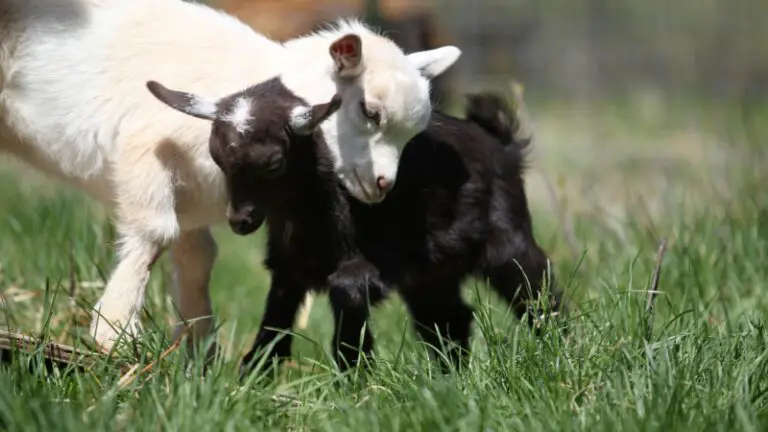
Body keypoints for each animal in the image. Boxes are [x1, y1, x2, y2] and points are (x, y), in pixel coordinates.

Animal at [0, 0, 461, 354]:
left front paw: (196, 350)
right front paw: (113, 333)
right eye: (370, 111)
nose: (383, 185)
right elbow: (154, 233)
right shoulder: (146, 149)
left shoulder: (193, 199)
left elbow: (198, 259)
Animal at [147, 78, 563, 374]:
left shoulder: (373, 263)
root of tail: (501, 145)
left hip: (506, 240)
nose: (240, 220)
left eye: (274, 163)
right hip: (431, 272)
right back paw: (451, 379)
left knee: (537, 289)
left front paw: (356, 376)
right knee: (449, 319)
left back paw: (559, 349)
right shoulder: (288, 270)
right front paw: (254, 379)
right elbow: (273, 330)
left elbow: (346, 292)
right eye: (216, 158)